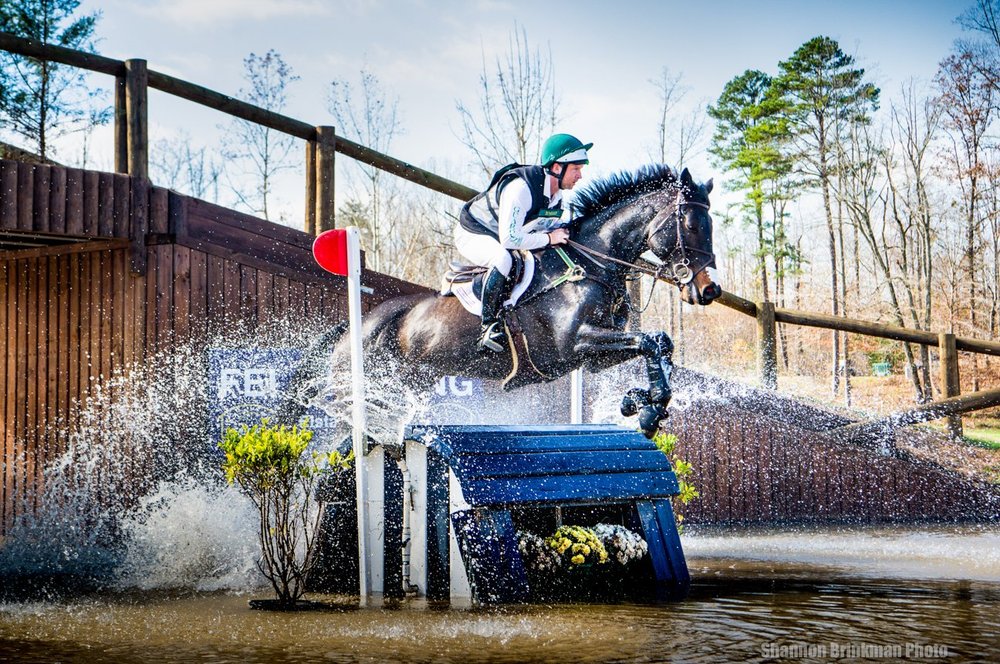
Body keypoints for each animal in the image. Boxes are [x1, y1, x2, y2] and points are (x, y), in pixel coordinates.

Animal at [326, 165, 719, 438]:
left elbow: (658, 343)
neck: (592, 263)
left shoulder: (592, 357)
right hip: (372, 391)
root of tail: (351, 331)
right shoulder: (575, 343)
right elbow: (650, 341)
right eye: (691, 224)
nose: (709, 290)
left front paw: (640, 402)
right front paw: (649, 410)